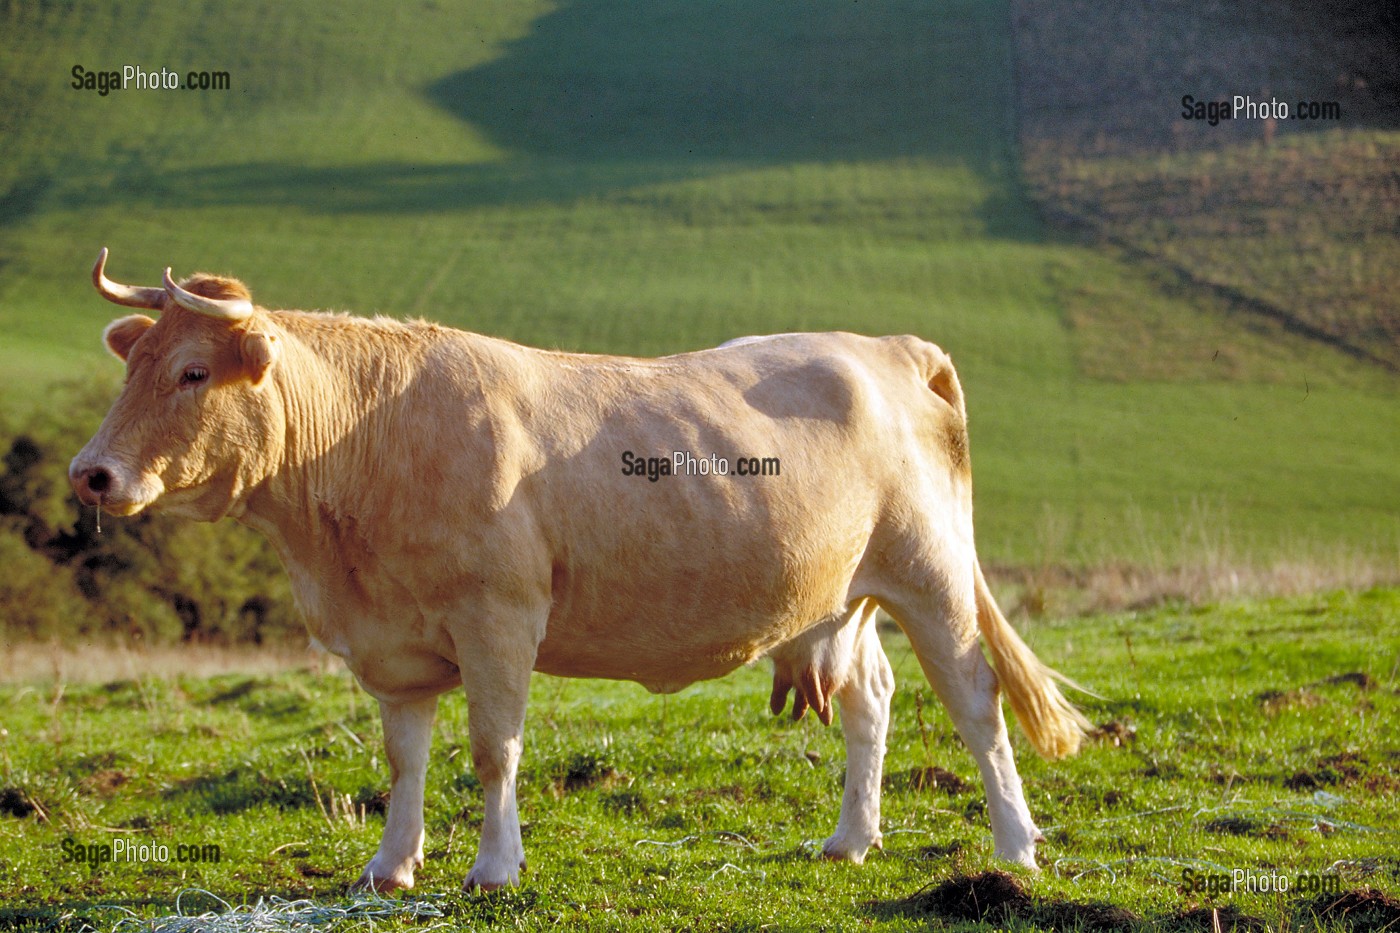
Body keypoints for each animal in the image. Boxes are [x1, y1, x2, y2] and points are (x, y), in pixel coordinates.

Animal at [70, 248, 1088, 893]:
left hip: (930, 571)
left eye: (193, 372)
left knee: (973, 698)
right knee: (872, 698)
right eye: (133, 365)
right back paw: (850, 840)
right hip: (836, 595)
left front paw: (492, 867)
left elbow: (494, 748)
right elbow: (403, 758)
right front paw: (390, 866)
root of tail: (886, 347)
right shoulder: (393, 644)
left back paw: (1014, 846)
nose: (92, 472)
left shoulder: (497, 617)